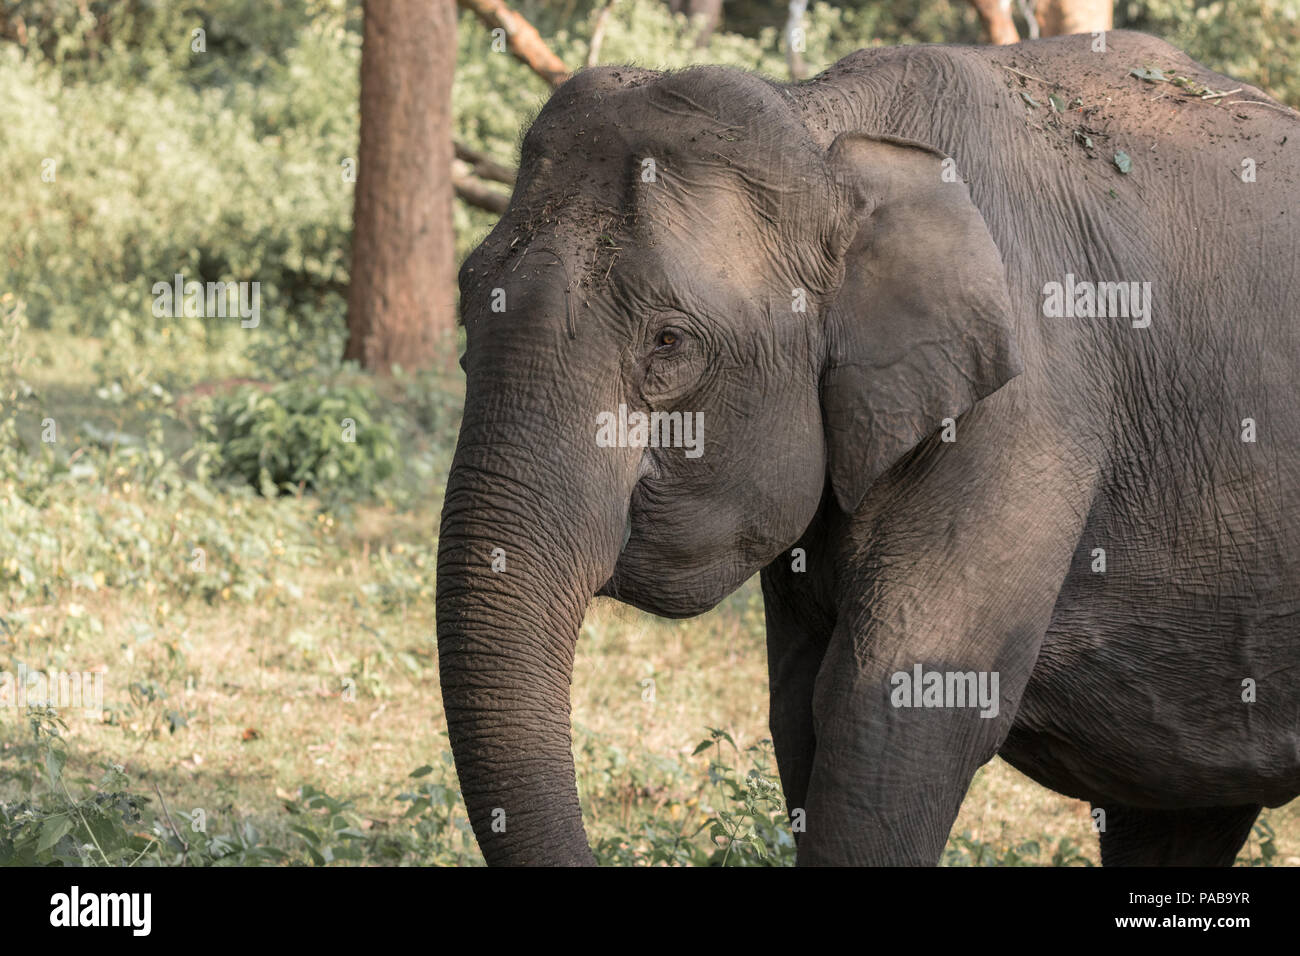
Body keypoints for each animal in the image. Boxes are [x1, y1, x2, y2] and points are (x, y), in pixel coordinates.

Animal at [436, 30, 1300, 866]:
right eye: (467, 302)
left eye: (669, 342)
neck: (826, 128)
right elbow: (801, 712)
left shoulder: (1029, 411)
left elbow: (890, 717)